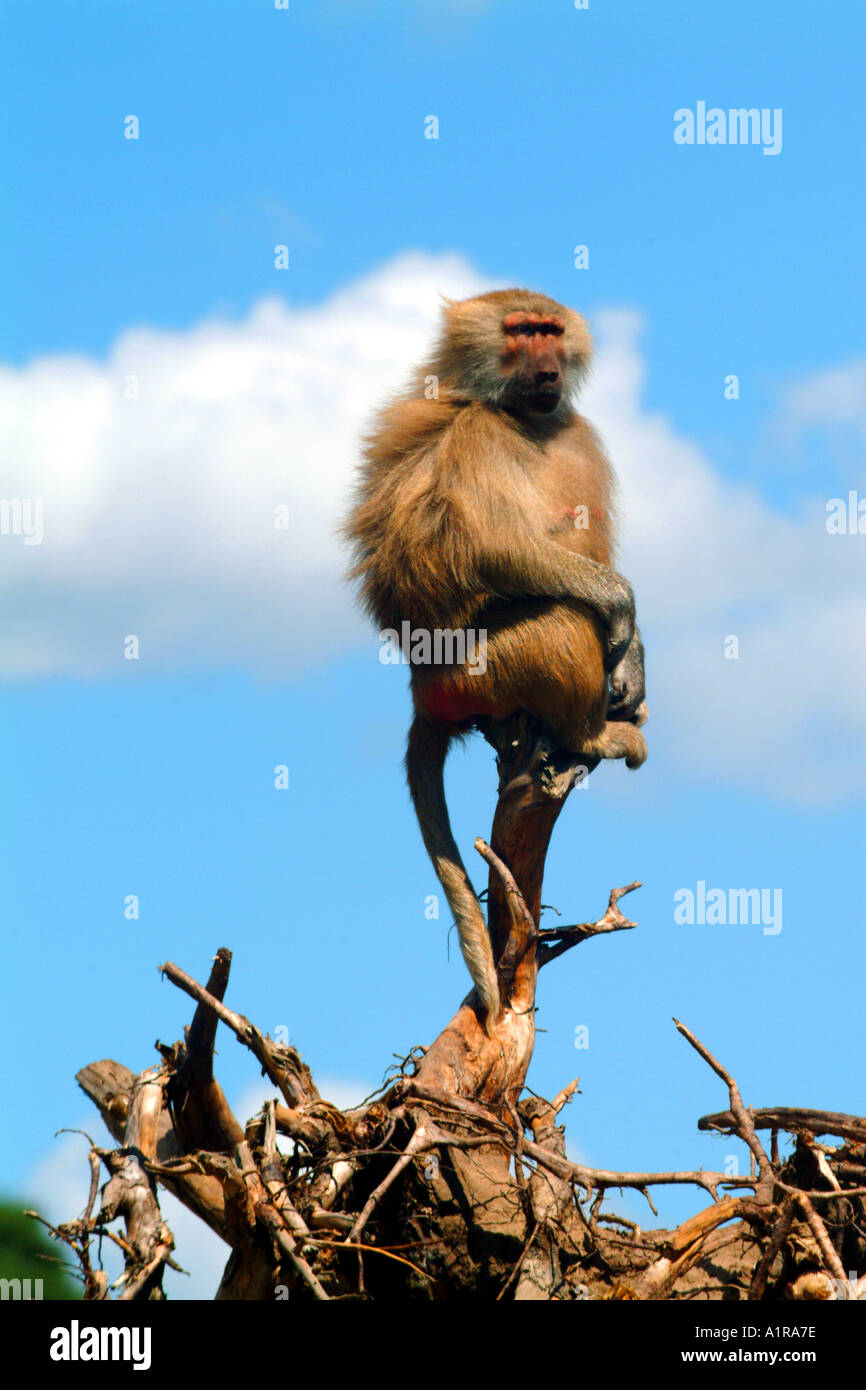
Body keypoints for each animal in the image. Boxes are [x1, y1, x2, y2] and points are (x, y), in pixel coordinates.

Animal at [343, 289, 647, 1022]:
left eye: (550, 331)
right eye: (518, 332)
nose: (547, 370)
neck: (521, 417)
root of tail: (421, 690)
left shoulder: (577, 435)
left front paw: (635, 656)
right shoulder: (478, 434)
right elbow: (491, 546)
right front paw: (622, 606)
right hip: (482, 670)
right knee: (566, 620)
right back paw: (593, 734)